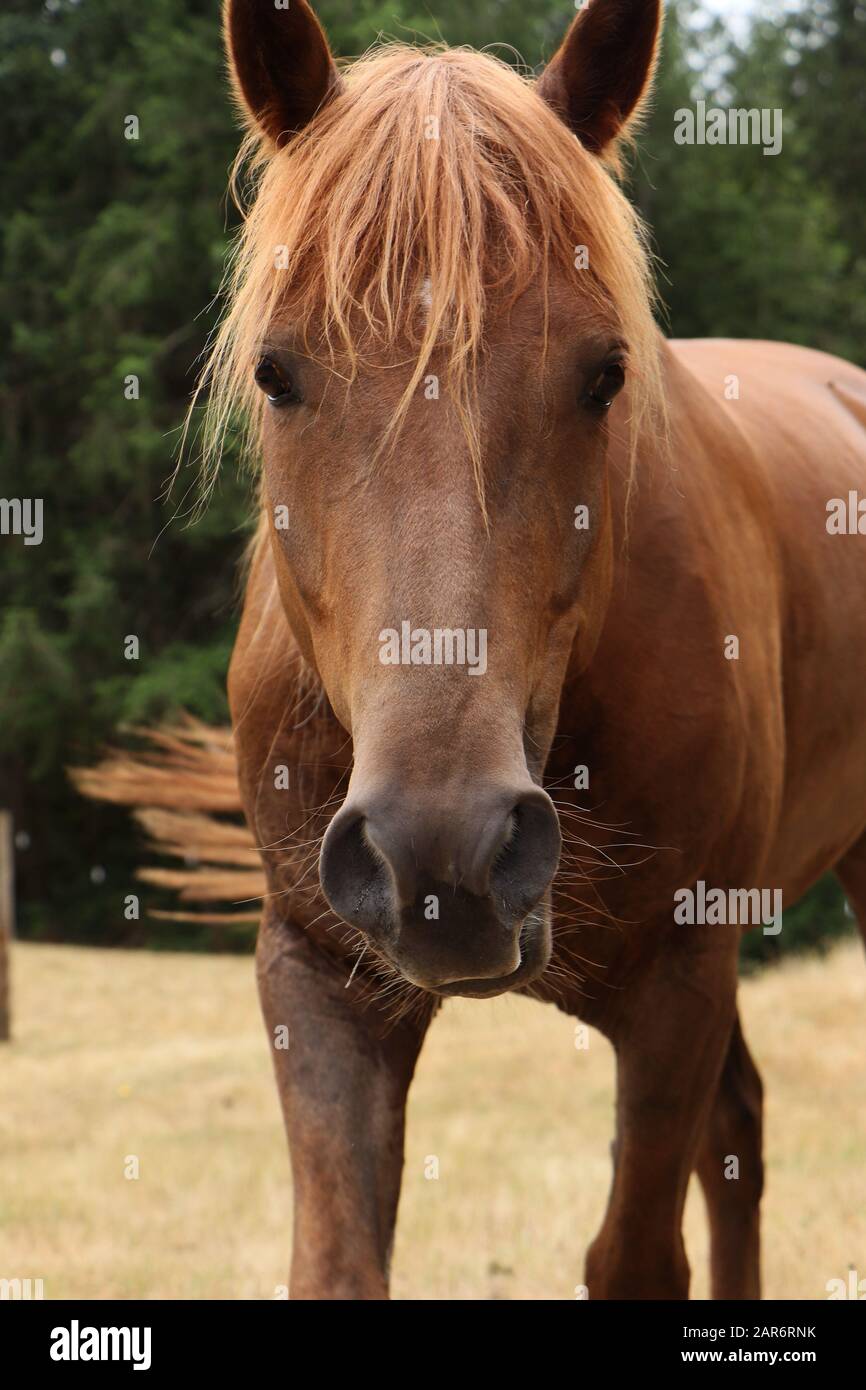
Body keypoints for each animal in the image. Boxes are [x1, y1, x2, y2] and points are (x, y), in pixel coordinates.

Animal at [81, 0, 866, 1299]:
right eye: (275, 373)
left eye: (603, 373)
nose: (440, 852)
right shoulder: (315, 978)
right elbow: (338, 1259)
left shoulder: (676, 978)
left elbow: (634, 1255)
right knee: (741, 1128)